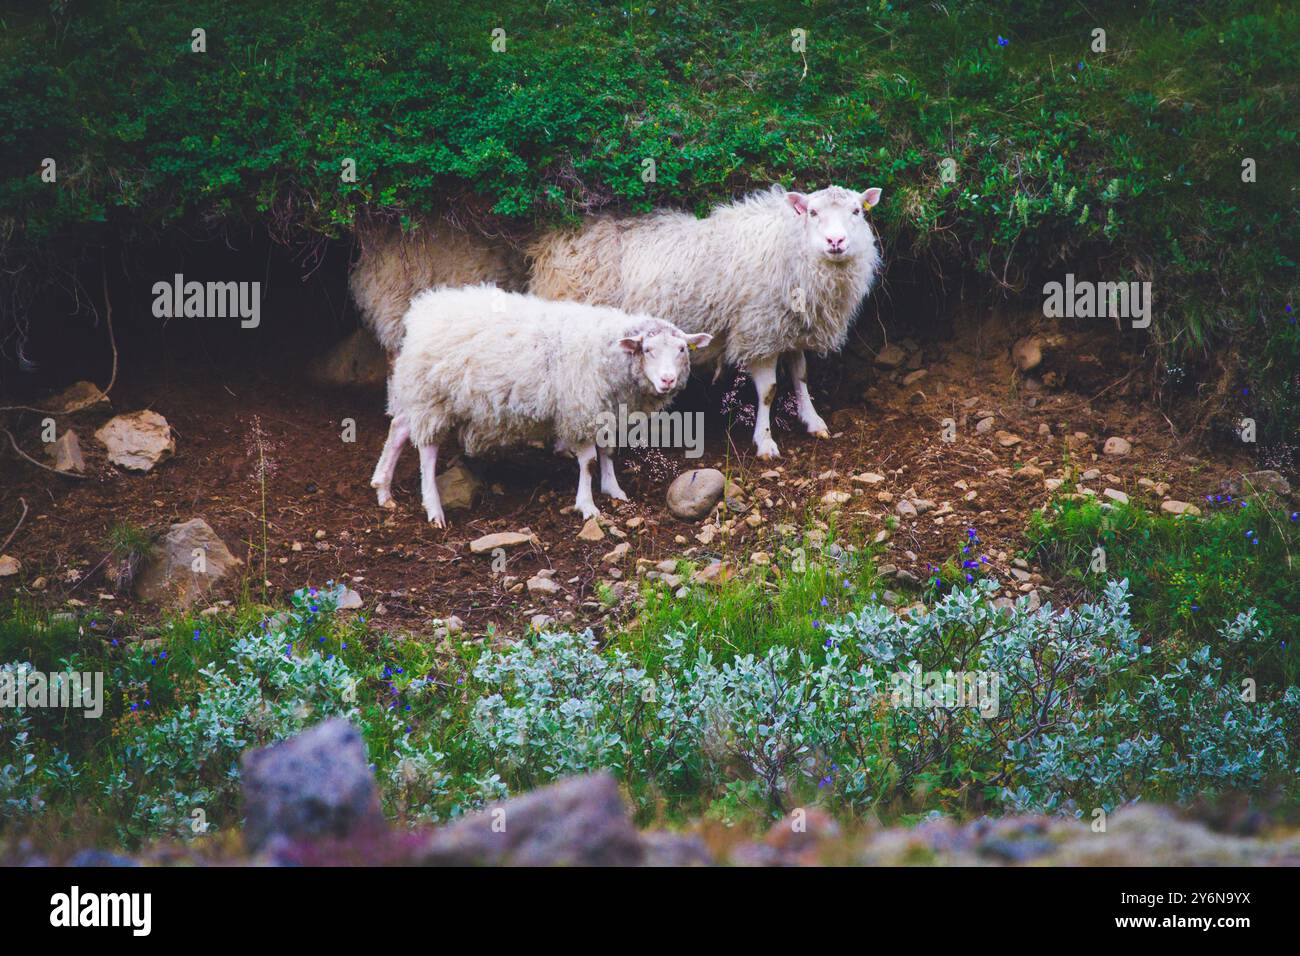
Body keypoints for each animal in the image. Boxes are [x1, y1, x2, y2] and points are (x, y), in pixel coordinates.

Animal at [372, 284, 712, 527]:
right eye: (649, 349)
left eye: (682, 349)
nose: (667, 380)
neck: (609, 352)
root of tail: (422, 311)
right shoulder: (579, 409)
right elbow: (589, 461)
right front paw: (587, 505)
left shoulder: (606, 411)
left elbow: (608, 453)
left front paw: (613, 489)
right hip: (433, 397)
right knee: (427, 451)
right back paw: (433, 508)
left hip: (421, 394)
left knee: (398, 428)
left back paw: (383, 489)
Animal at [527, 184, 884, 459]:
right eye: (813, 213)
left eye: (856, 211)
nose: (835, 242)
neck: (790, 246)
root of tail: (551, 244)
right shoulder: (758, 329)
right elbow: (769, 390)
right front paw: (765, 441)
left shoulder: (789, 328)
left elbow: (801, 376)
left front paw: (813, 421)